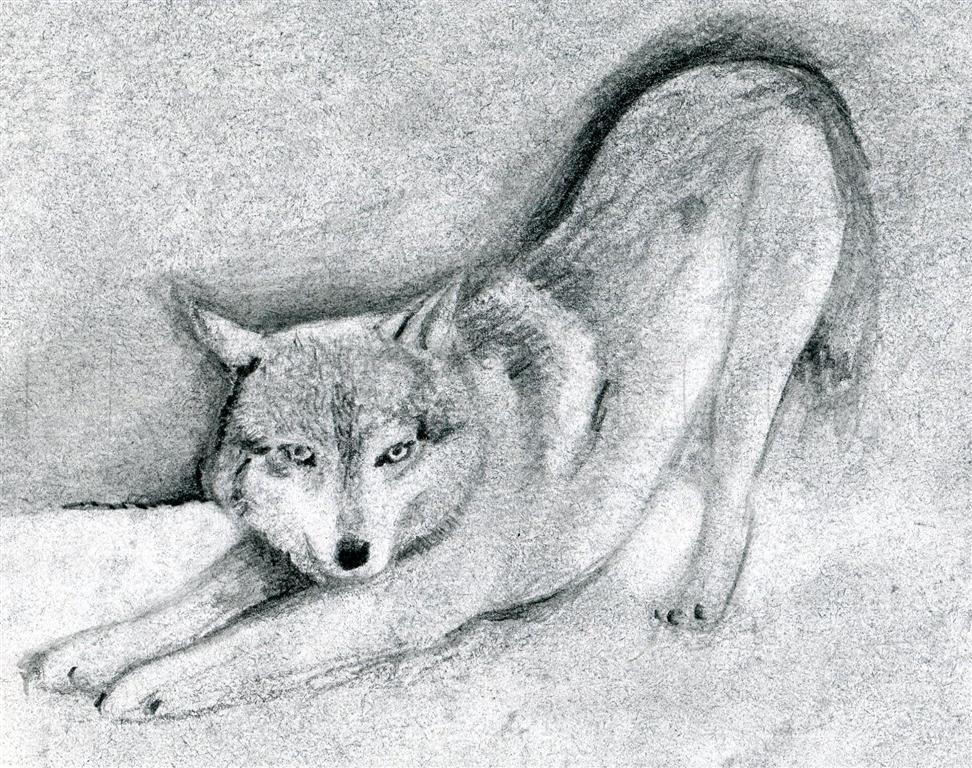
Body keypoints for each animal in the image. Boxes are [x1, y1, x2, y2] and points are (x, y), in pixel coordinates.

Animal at [20, 24, 873, 720]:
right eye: (300, 456)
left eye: (394, 453)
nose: (353, 555)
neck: (476, 447)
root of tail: (775, 69)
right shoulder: (293, 550)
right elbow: (198, 598)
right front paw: (87, 651)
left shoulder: (395, 602)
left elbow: (257, 639)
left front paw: (141, 686)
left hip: (757, 363)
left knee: (735, 486)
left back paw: (700, 595)